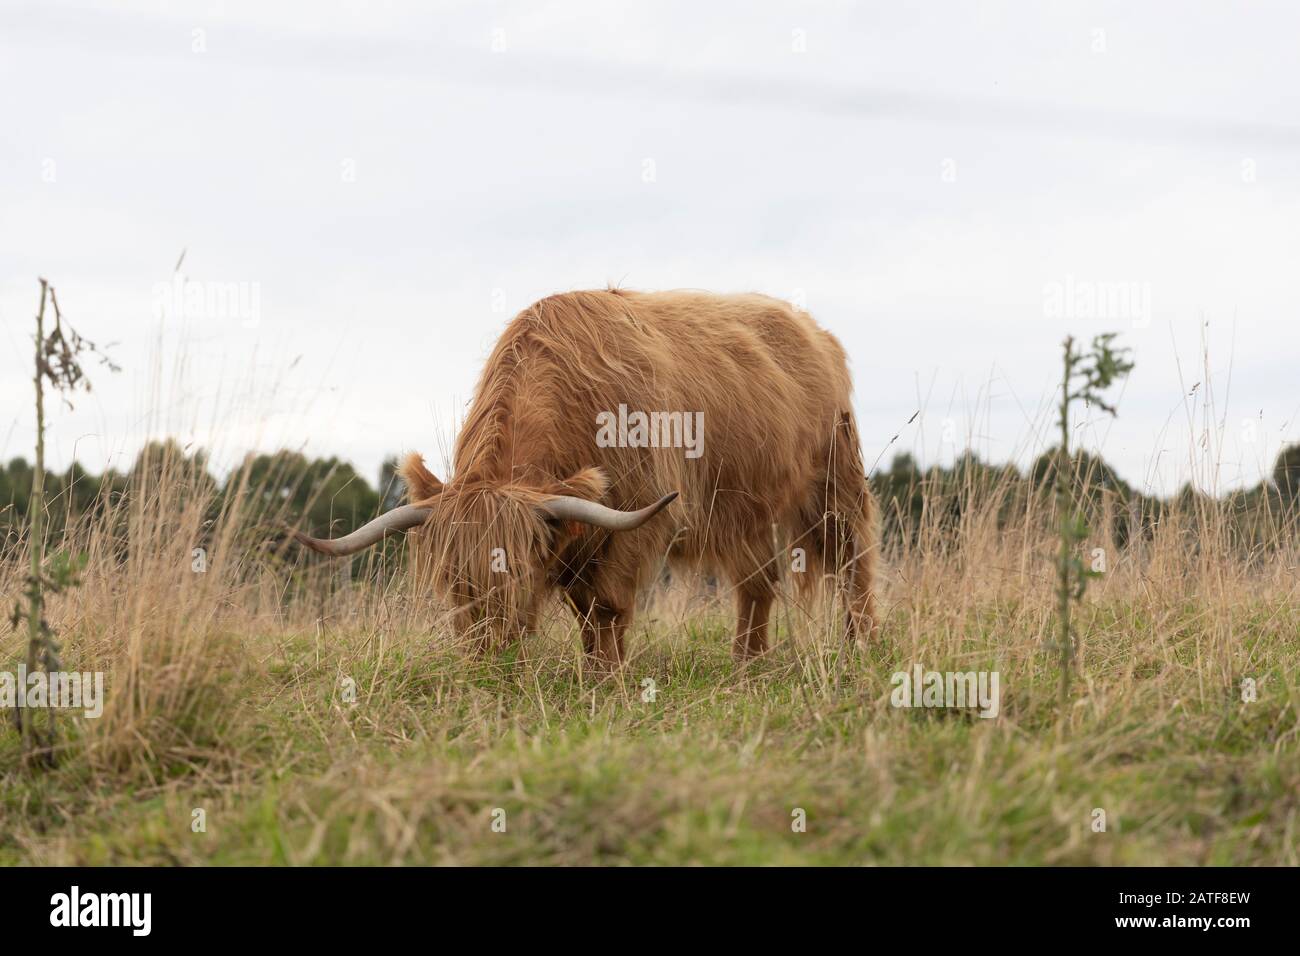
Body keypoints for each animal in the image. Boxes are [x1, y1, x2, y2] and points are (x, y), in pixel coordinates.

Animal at [291, 289, 879, 666]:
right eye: (453, 580)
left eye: (518, 572)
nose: (488, 652)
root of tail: (813, 329)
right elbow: (584, 613)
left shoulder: (638, 520)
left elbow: (607, 607)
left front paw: (606, 680)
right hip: (744, 509)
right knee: (759, 580)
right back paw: (746, 662)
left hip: (834, 479)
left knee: (855, 559)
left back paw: (861, 647)